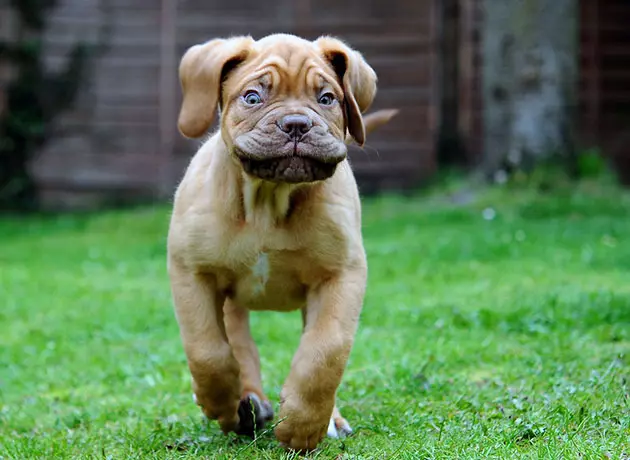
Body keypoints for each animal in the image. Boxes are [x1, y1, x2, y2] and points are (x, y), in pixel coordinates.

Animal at [165, 34, 398, 452]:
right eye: (252, 97)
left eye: (327, 98)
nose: (296, 124)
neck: (268, 200)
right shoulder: (191, 272)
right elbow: (207, 350)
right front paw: (219, 402)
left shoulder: (341, 276)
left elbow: (325, 353)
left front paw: (304, 426)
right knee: (238, 344)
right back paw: (247, 405)